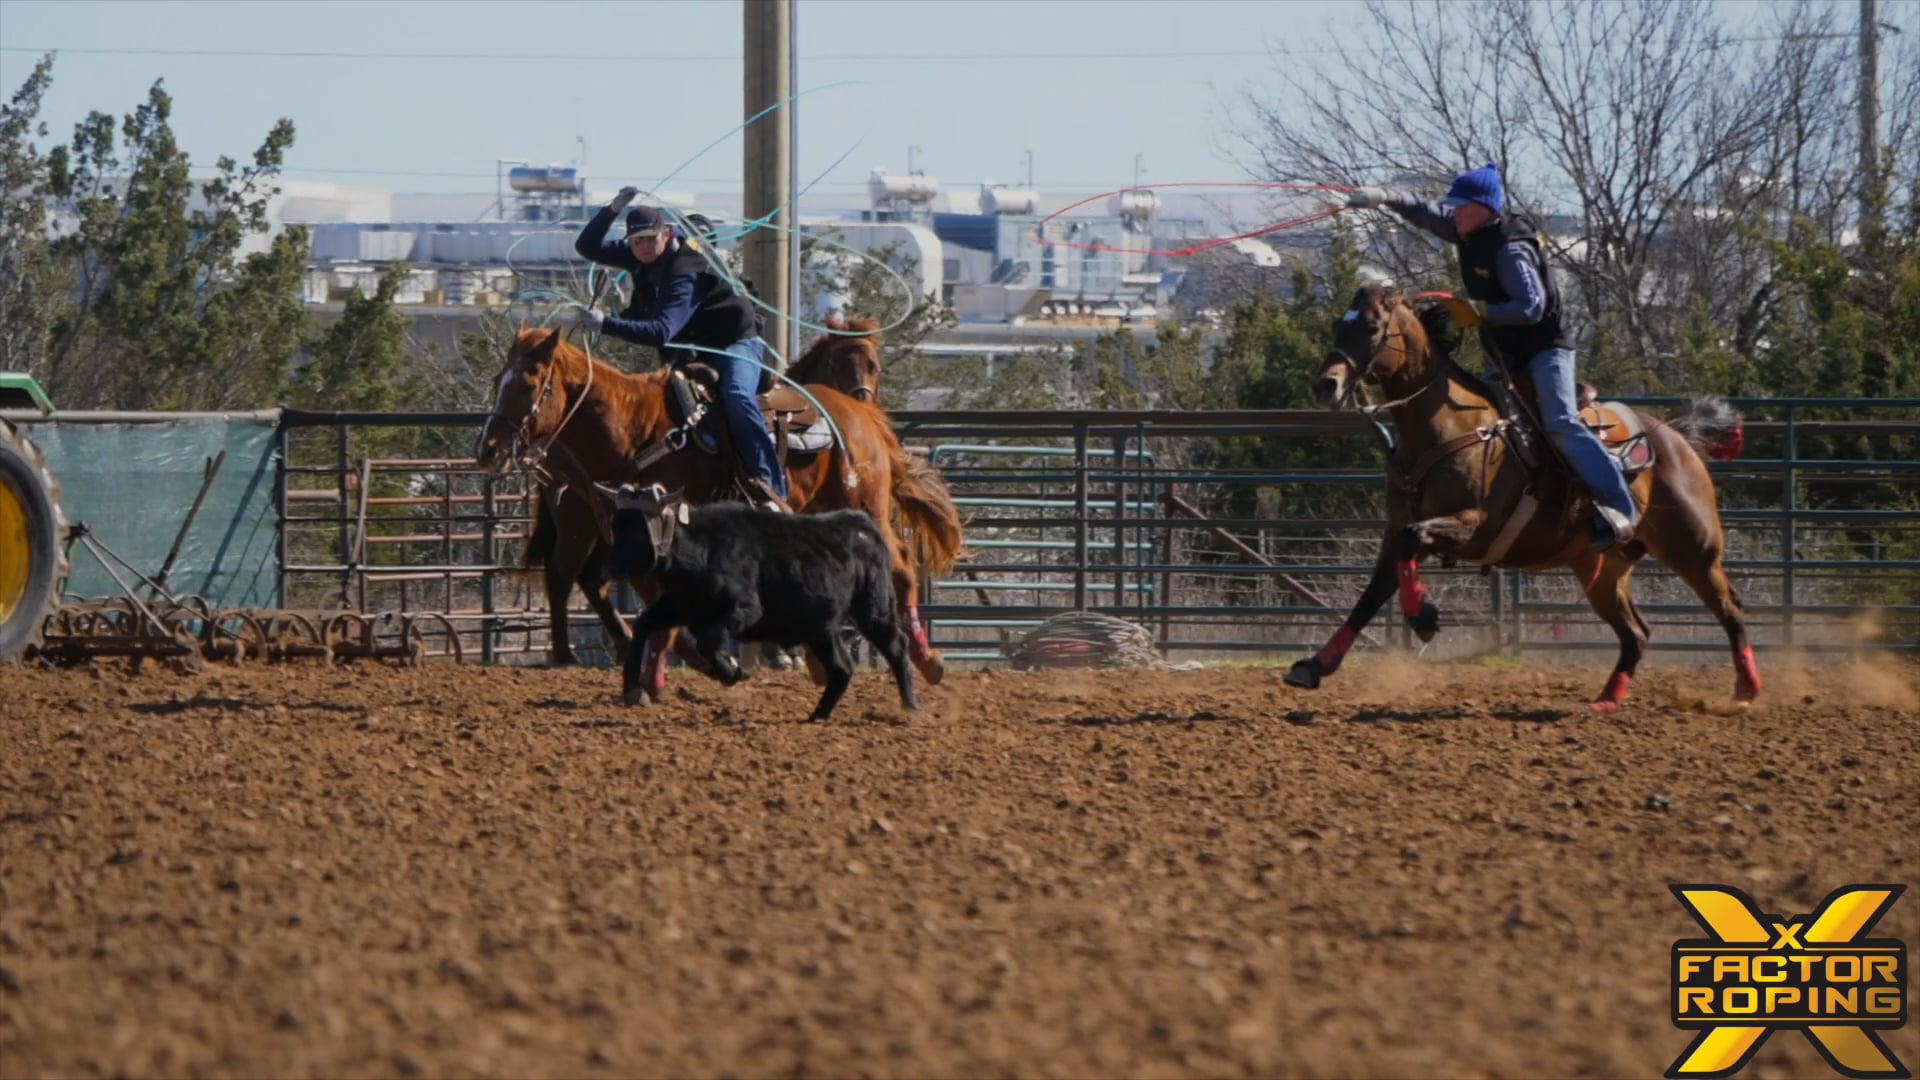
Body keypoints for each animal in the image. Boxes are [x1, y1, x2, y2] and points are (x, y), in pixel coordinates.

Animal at [472, 322, 967, 684]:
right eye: (500, 380)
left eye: (528, 383)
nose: (488, 449)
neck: (636, 428)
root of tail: (858, 416)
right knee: (574, 576)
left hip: (865, 506)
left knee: (900, 566)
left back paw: (925, 657)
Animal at [1282, 284, 1758, 714]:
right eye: (1337, 325)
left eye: (1372, 325)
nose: (1325, 385)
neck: (1447, 426)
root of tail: (1674, 435)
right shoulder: (1394, 531)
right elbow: (1374, 591)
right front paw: (1315, 665)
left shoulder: (1474, 527)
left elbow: (1414, 541)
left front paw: (1424, 618)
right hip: (1601, 571)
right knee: (1636, 633)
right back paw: (1606, 699)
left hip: (1693, 549)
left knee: (1730, 609)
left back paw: (1746, 689)